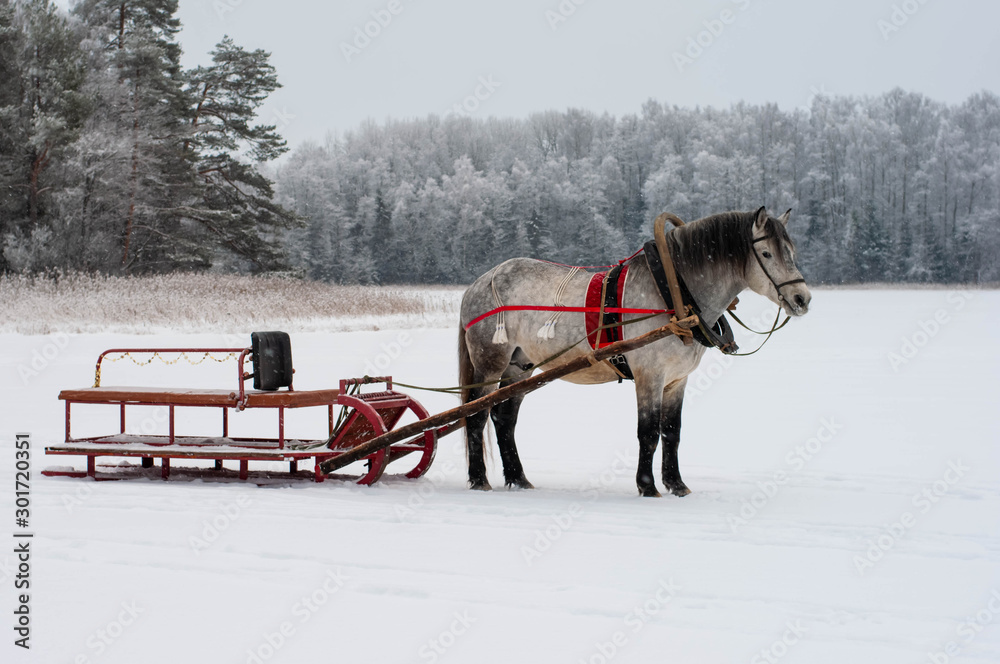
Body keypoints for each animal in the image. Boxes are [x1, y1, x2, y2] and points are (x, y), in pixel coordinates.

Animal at [457, 207, 812, 497]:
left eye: (791, 252)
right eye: (766, 253)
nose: (802, 298)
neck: (674, 293)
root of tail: (479, 282)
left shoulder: (676, 380)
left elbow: (672, 432)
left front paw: (677, 484)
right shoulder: (649, 375)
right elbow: (648, 432)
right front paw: (647, 486)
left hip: (521, 365)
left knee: (504, 418)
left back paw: (518, 479)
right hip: (490, 361)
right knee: (476, 415)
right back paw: (479, 480)